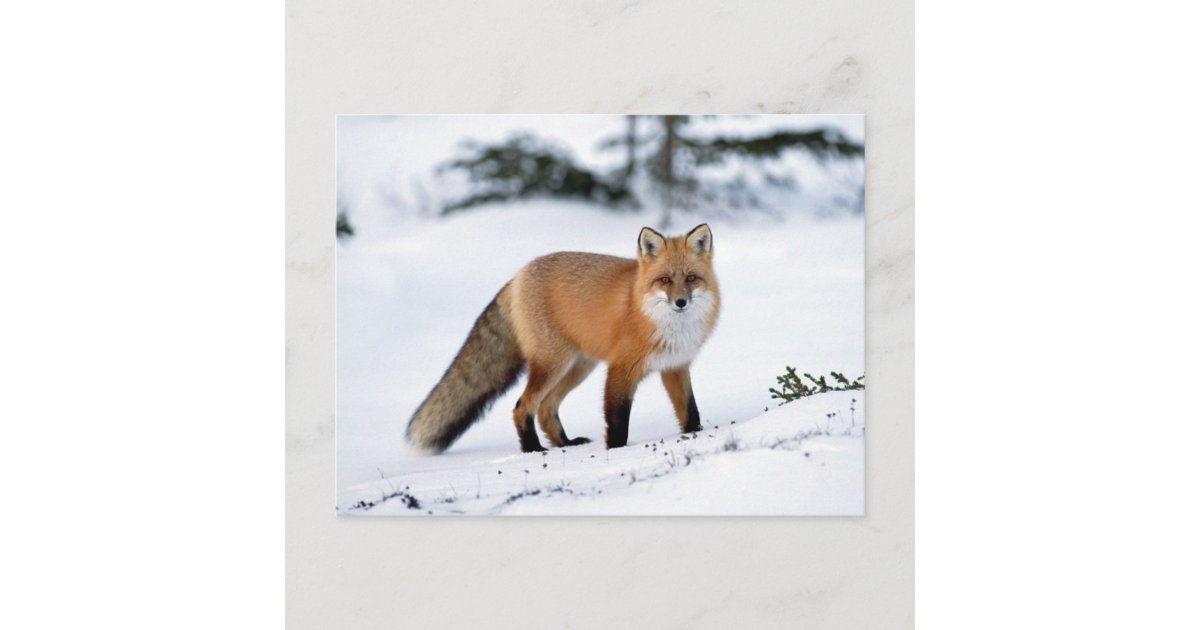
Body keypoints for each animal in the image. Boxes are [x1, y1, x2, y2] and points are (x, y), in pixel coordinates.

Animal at [406, 223, 720, 454]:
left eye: (691, 278)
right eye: (665, 280)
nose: (680, 302)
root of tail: (518, 276)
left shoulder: (675, 366)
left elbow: (690, 411)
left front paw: (695, 435)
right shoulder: (620, 369)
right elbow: (617, 420)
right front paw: (616, 451)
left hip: (578, 367)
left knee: (546, 408)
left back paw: (564, 443)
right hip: (553, 364)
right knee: (523, 407)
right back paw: (533, 449)